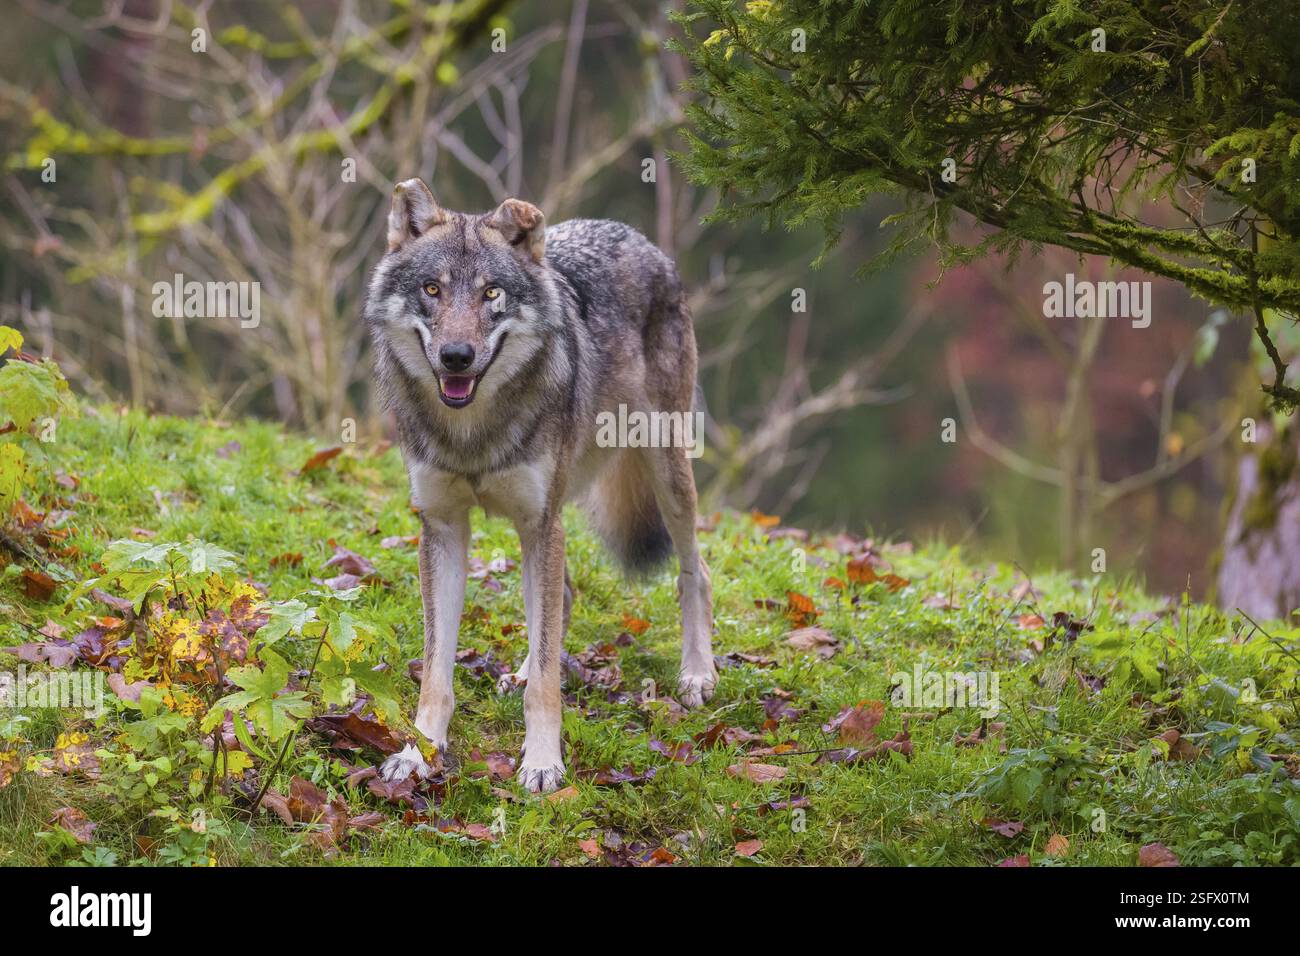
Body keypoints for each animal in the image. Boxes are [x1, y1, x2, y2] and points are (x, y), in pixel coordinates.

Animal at [364, 179, 716, 792]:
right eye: (432, 289)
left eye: (492, 294)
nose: (456, 357)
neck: (472, 433)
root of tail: (633, 235)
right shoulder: (442, 528)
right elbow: (436, 669)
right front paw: (419, 751)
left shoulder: (538, 522)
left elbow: (549, 678)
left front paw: (544, 762)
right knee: (563, 599)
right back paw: (523, 669)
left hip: (664, 473)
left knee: (694, 571)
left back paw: (697, 673)